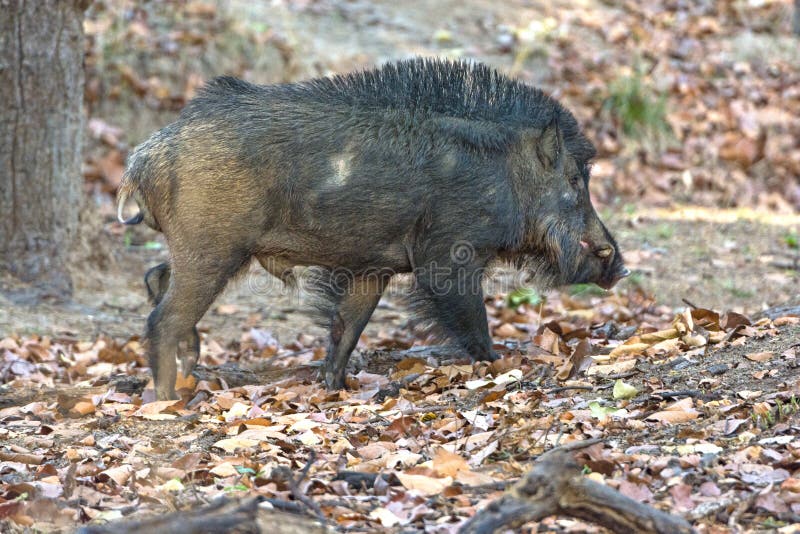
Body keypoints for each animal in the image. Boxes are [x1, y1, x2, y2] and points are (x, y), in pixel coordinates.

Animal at [117, 58, 628, 400]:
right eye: (574, 180)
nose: (619, 267)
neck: (505, 177)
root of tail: (145, 158)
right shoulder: (446, 256)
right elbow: (471, 319)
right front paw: (501, 362)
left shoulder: (371, 269)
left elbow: (348, 327)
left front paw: (336, 387)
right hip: (213, 246)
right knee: (162, 317)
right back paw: (169, 401)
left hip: (210, 249)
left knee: (155, 278)